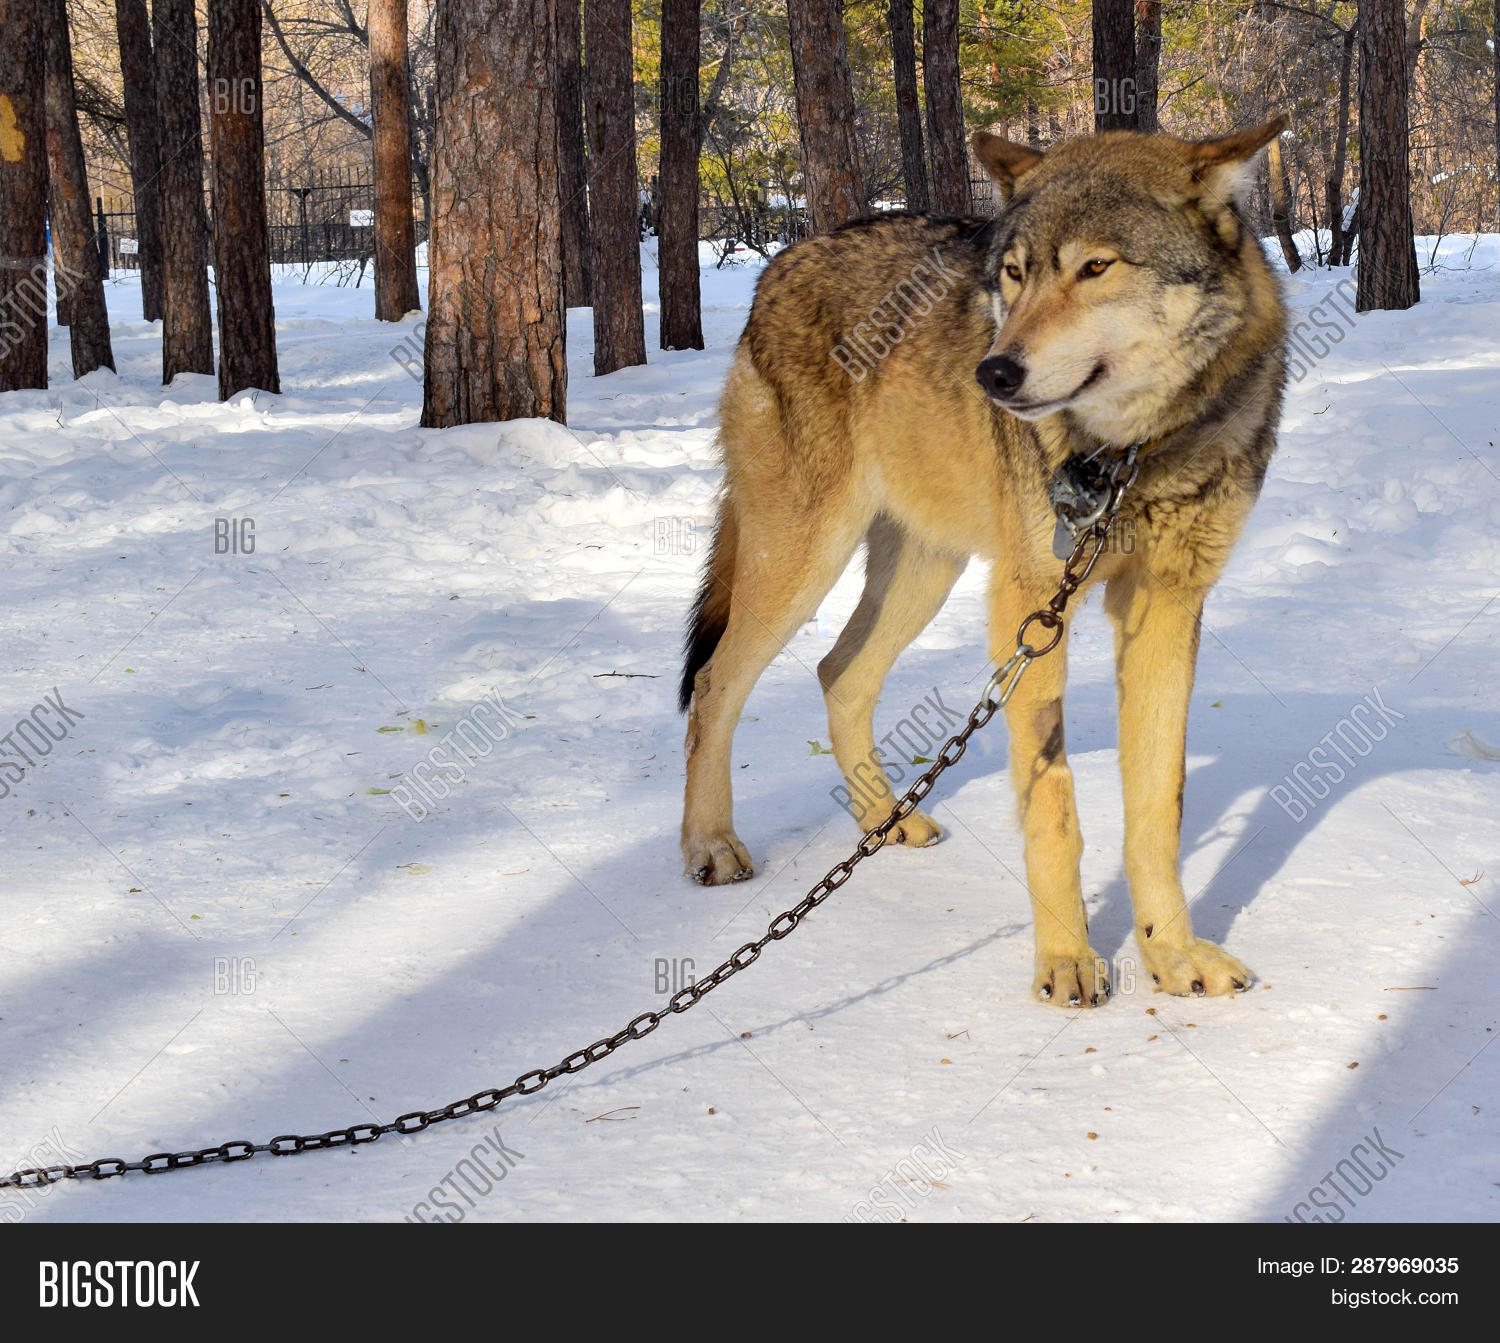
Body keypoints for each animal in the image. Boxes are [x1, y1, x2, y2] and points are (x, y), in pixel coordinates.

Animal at [678, 121, 1288, 1007]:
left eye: (1095, 267)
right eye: (1014, 273)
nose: (993, 372)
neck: (1131, 455)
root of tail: (778, 265)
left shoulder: (1165, 607)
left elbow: (1157, 811)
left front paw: (1172, 956)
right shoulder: (1032, 603)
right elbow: (1054, 804)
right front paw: (1066, 962)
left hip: (924, 570)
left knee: (838, 671)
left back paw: (885, 821)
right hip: (800, 558)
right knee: (714, 685)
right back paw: (712, 845)